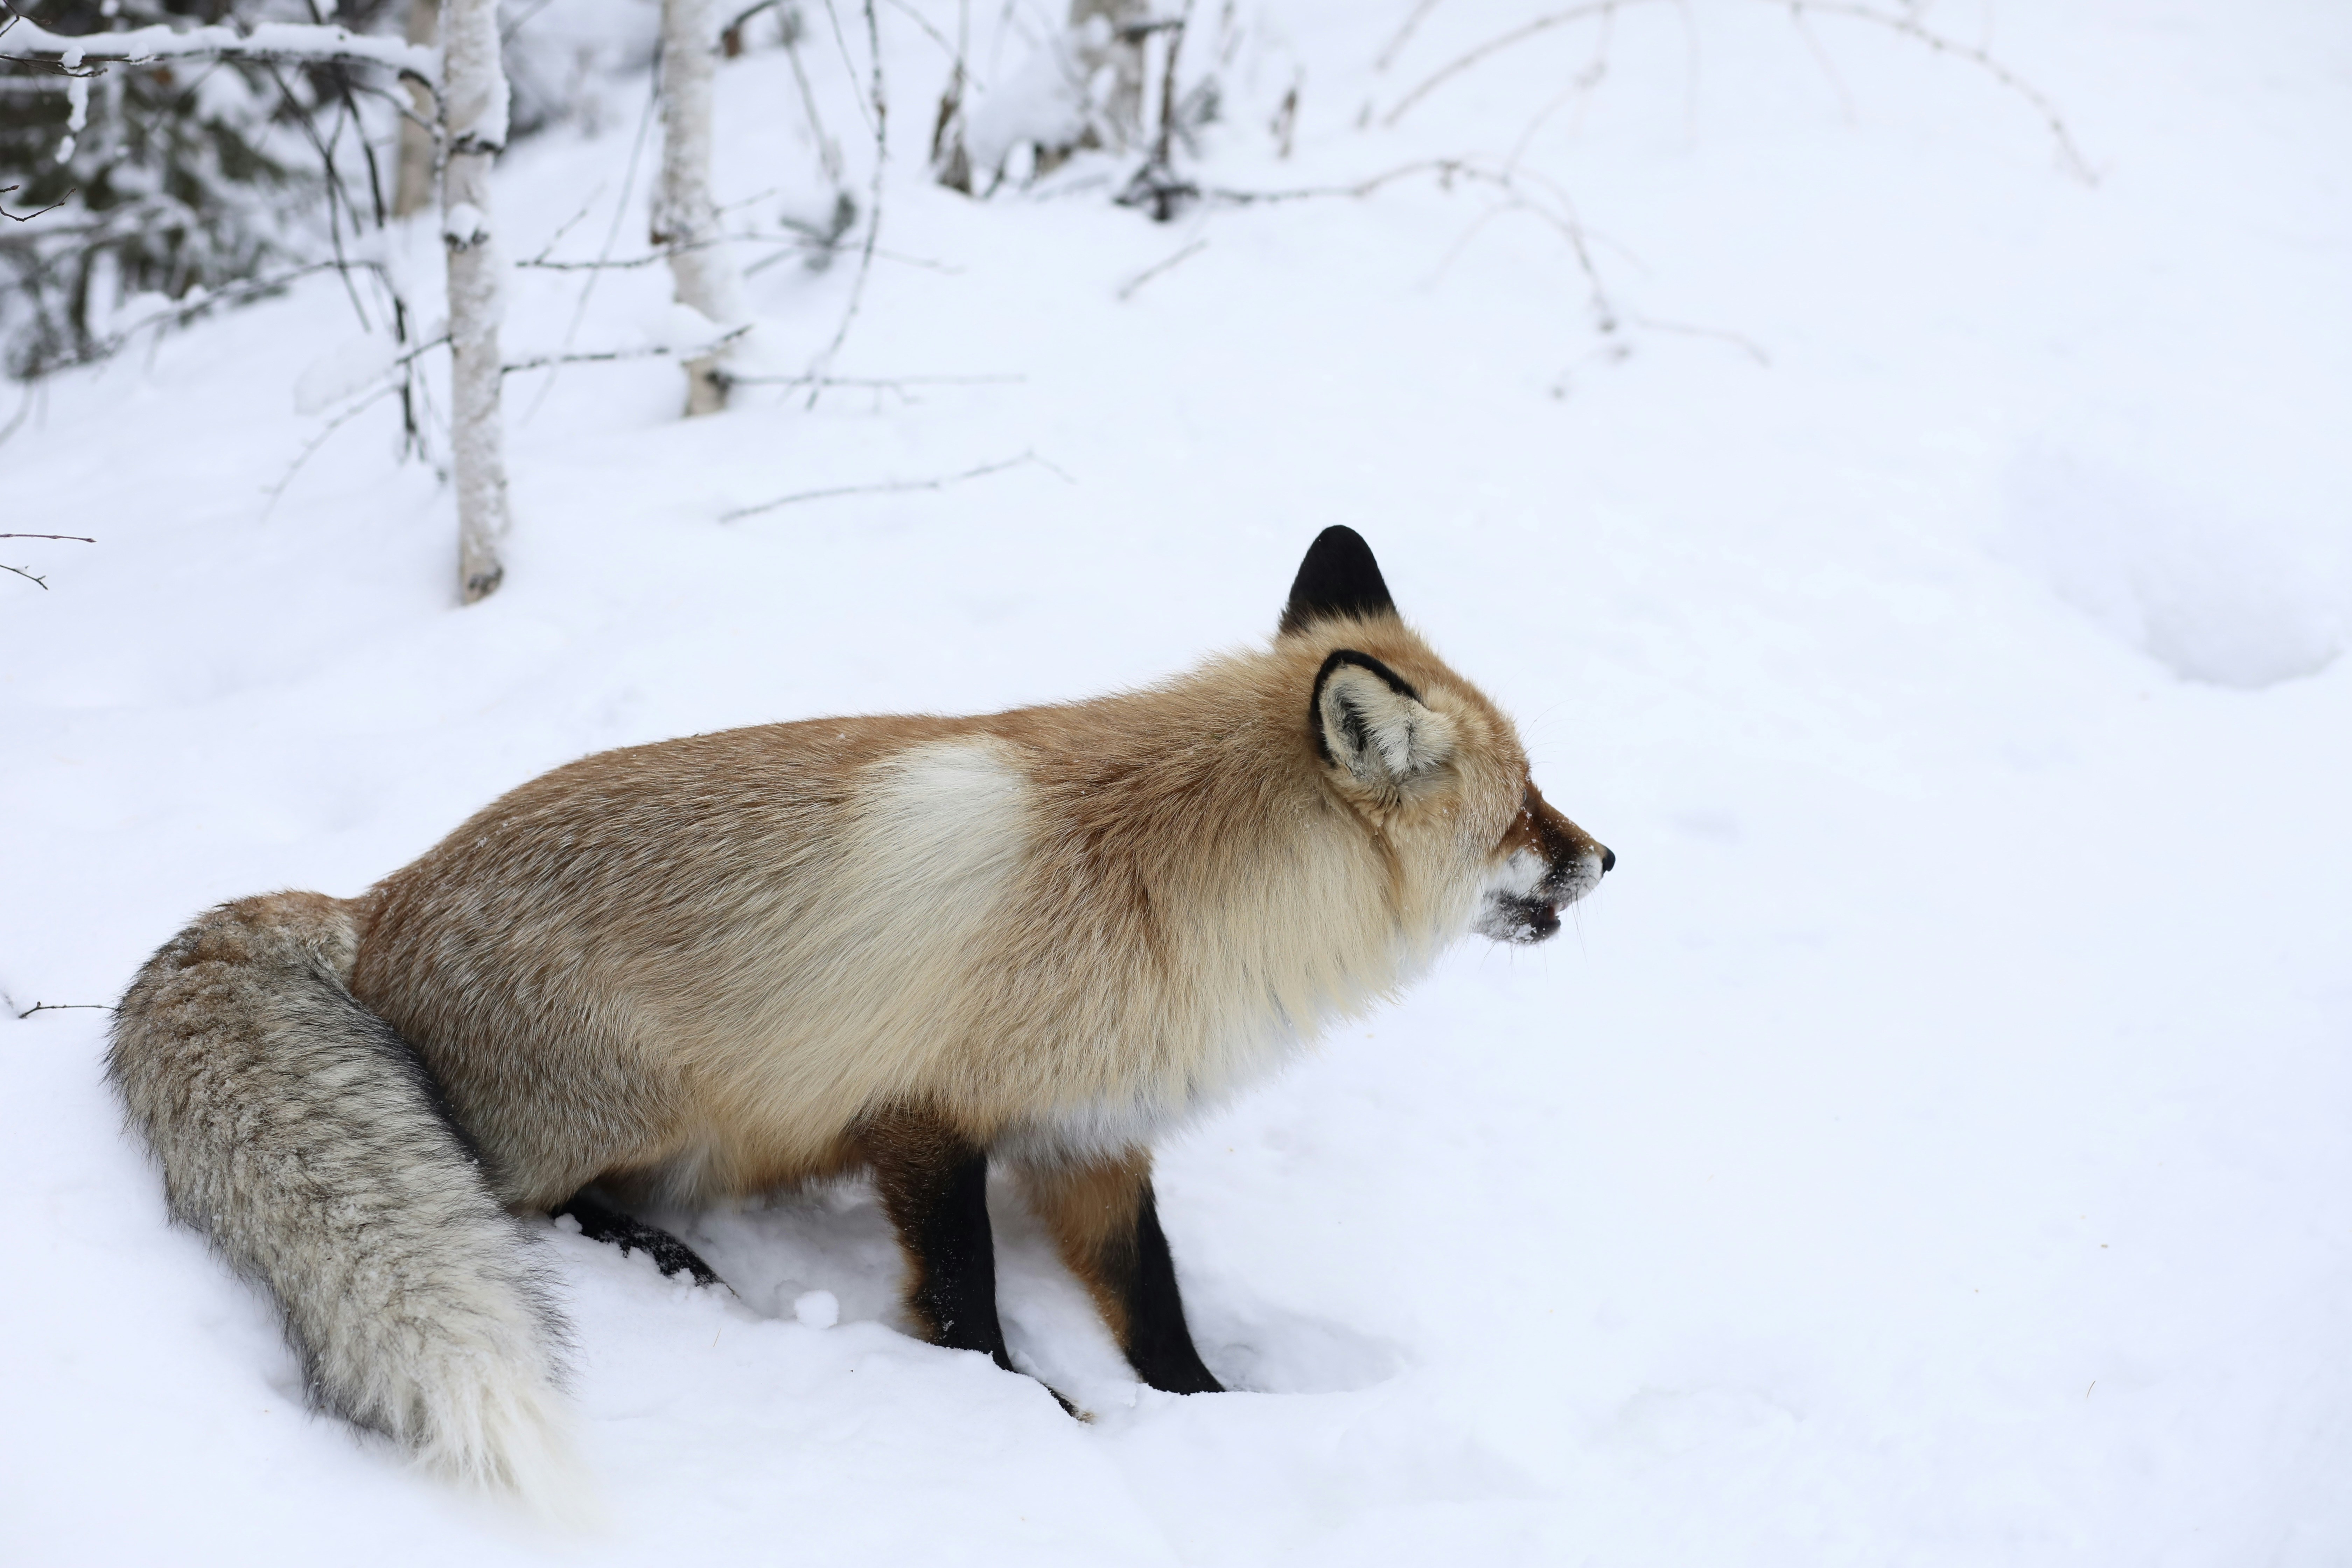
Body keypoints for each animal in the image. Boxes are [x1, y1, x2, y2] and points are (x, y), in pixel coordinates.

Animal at [107, 526, 1612, 1497]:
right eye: (1520, 812)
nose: (1606, 859)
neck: (1158, 892)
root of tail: (372, 907)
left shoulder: (1091, 1134)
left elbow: (1158, 1308)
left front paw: (1210, 1422)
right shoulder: (923, 1114)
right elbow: (966, 1303)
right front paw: (1027, 1416)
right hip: (660, 1108)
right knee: (526, 1202)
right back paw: (668, 1266)